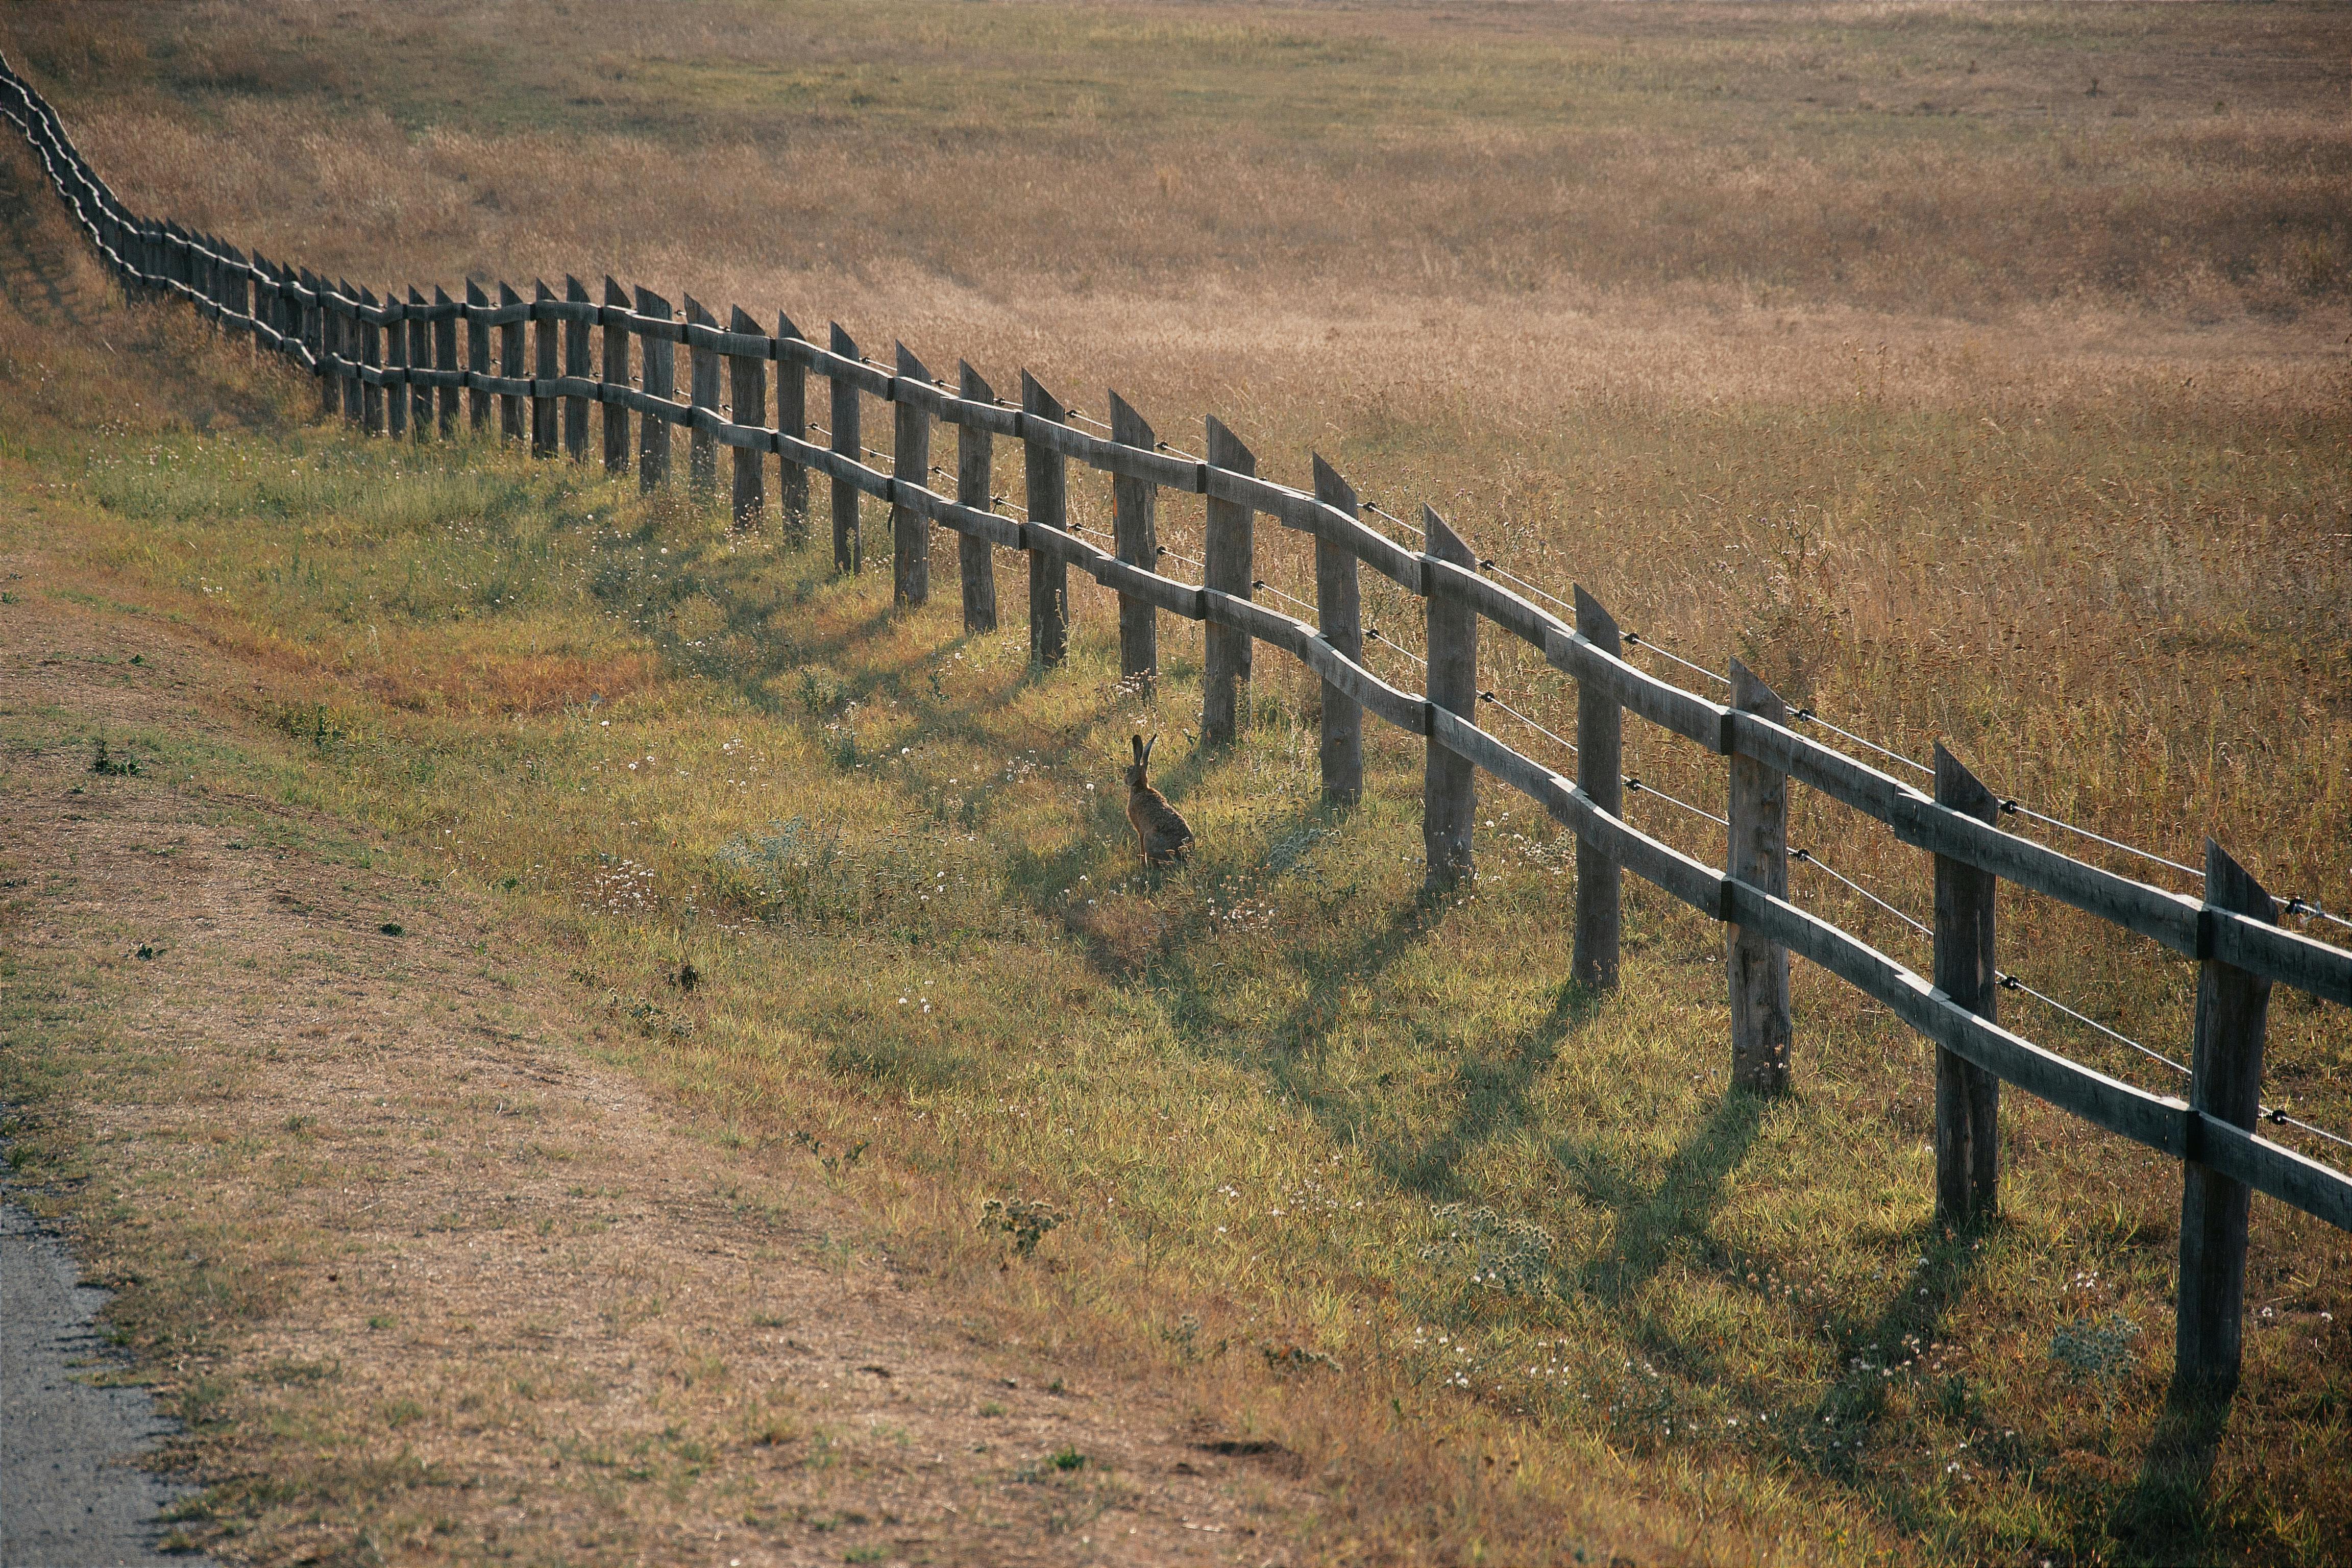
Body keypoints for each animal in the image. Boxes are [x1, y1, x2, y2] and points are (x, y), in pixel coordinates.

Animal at [1124, 733, 1194, 865]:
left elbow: (1141, 848)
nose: (1125, 780)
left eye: (1128, 770)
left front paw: (1143, 864)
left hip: (1149, 838)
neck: (1141, 788)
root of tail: (1182, 854)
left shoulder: (1140, 831)